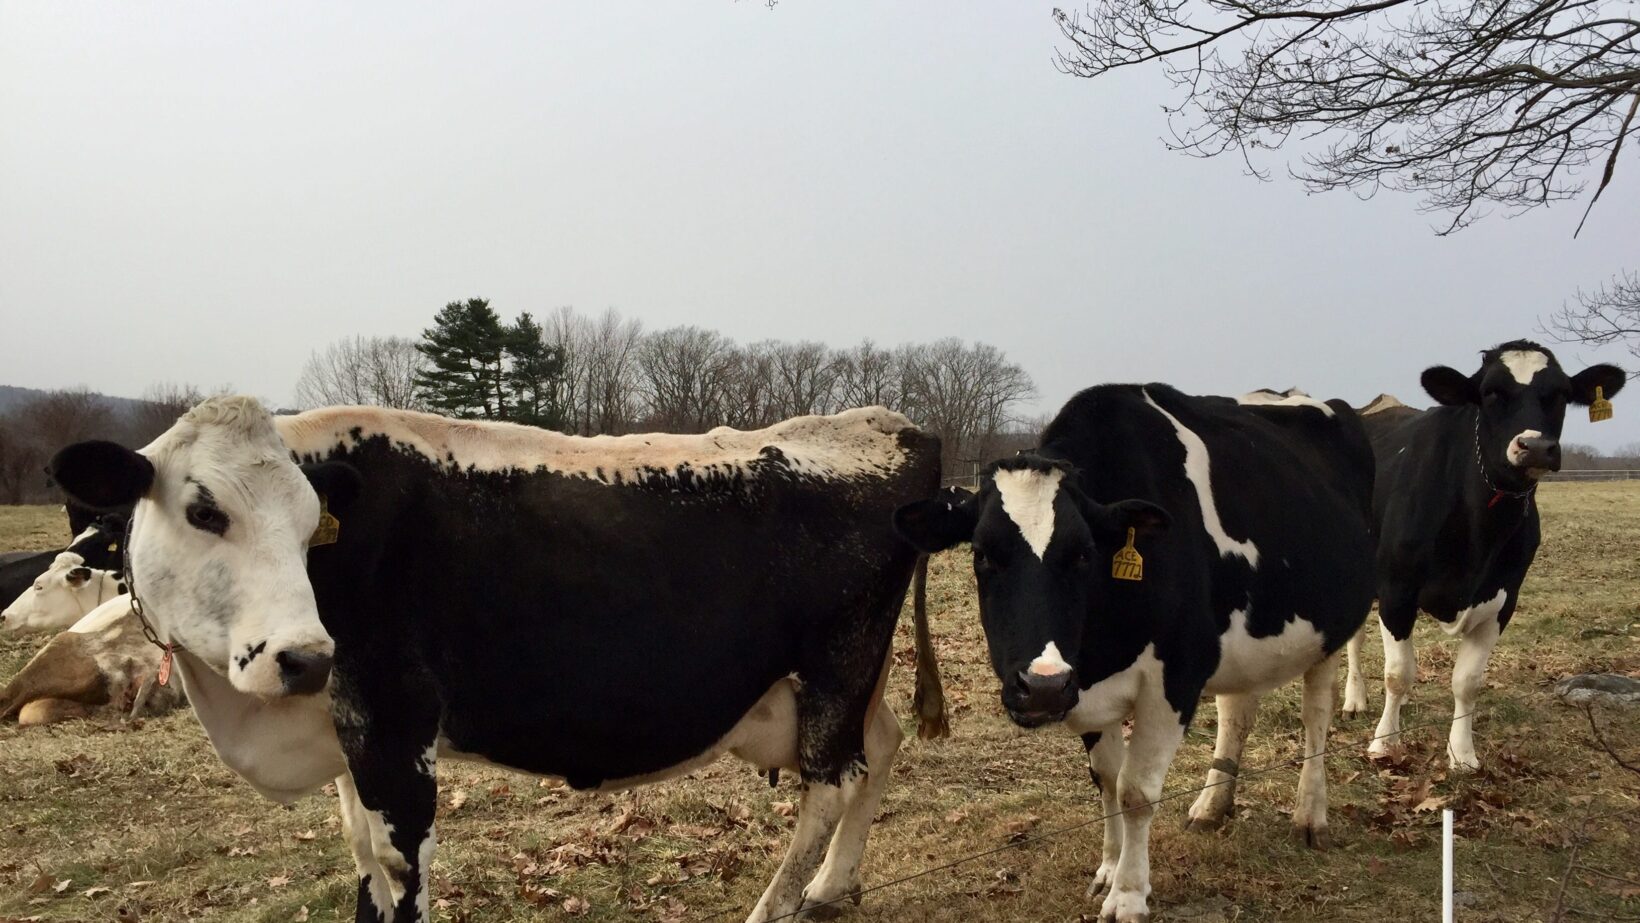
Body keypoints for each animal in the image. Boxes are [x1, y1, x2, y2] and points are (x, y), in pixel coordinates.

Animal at [47, 396, 941, 923]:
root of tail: (885, 422)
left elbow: (399, 861)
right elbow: (361, 853)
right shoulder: (345, 729)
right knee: (880, 748)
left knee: (834, 782)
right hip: (845, 681)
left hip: (834, 668)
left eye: (309, 526)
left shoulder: (394, 717)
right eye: (204, 511)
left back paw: (783, 903)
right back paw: (831, 886)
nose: (303, 656)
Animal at [893, 383, 1376, 923]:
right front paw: (1108, 868)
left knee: (1316, 716)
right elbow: (1106, 779)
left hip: (1331, 630)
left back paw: (1310, 815)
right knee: (1237, 712)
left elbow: (1136, 792)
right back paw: (1212, 806)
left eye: (1084, 553)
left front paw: (1127, 894)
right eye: (981, 555)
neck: (1103, 644)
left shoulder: (1176, 676)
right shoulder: (1083, 684)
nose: (1041, 686)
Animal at [1344, 340, 1625, 771]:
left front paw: (1461, 754)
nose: (1535, 447)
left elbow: (1468, 682)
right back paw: (1354, 699)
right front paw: (1385, 742)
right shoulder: (1396, 591)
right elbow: (1396, 672)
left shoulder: (1502, 600)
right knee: (1355, 639)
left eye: (1561, 394)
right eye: (1491, 392)